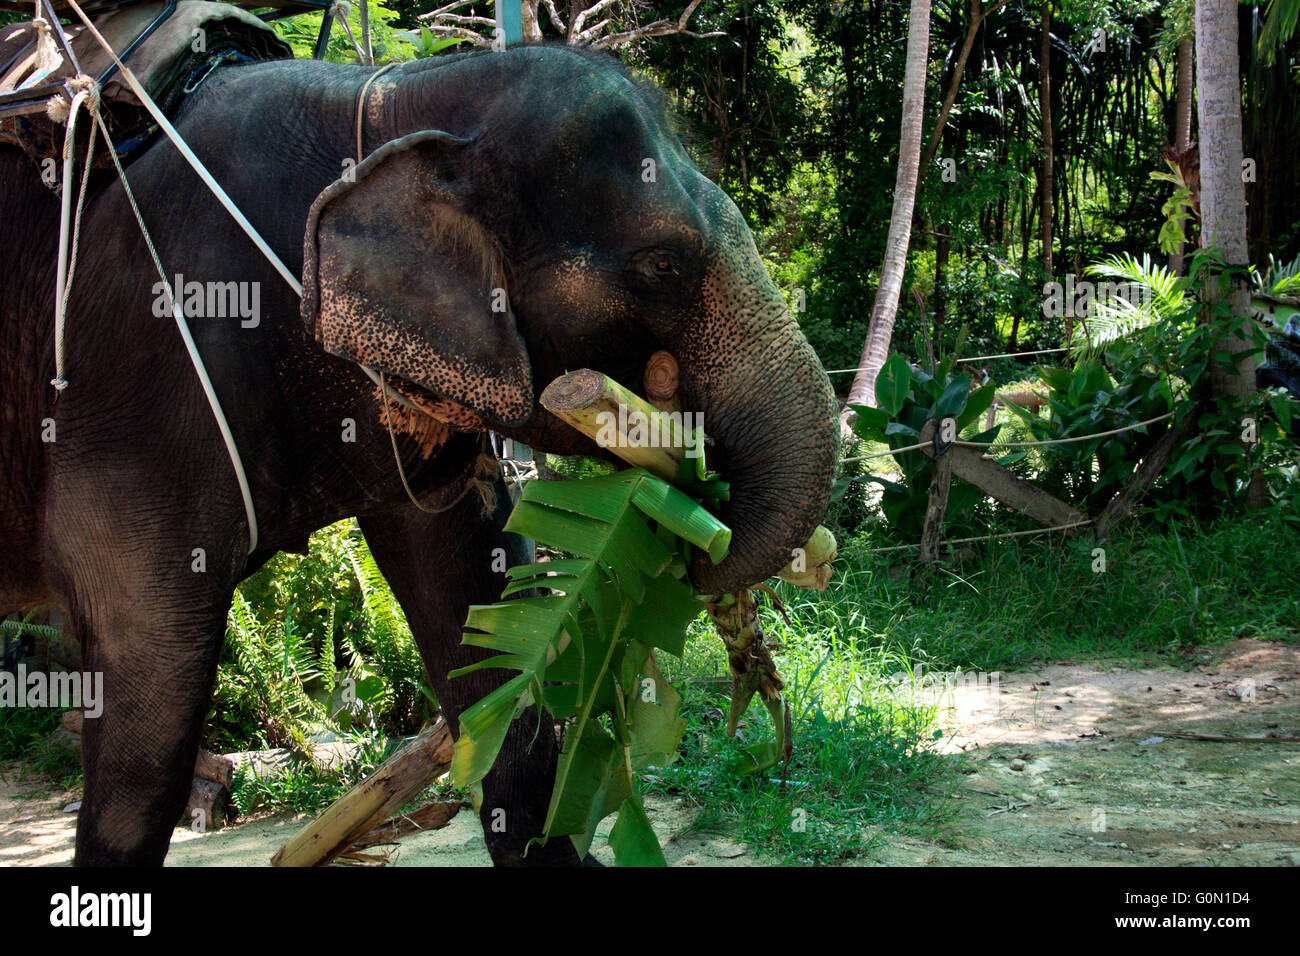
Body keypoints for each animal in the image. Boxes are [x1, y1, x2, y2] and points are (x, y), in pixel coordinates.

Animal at [0, 44, 838, 865]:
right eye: (664, 264)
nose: (705, 532)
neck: (400, 101)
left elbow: (487, 624)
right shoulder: (140, 378)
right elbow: (149, 697)